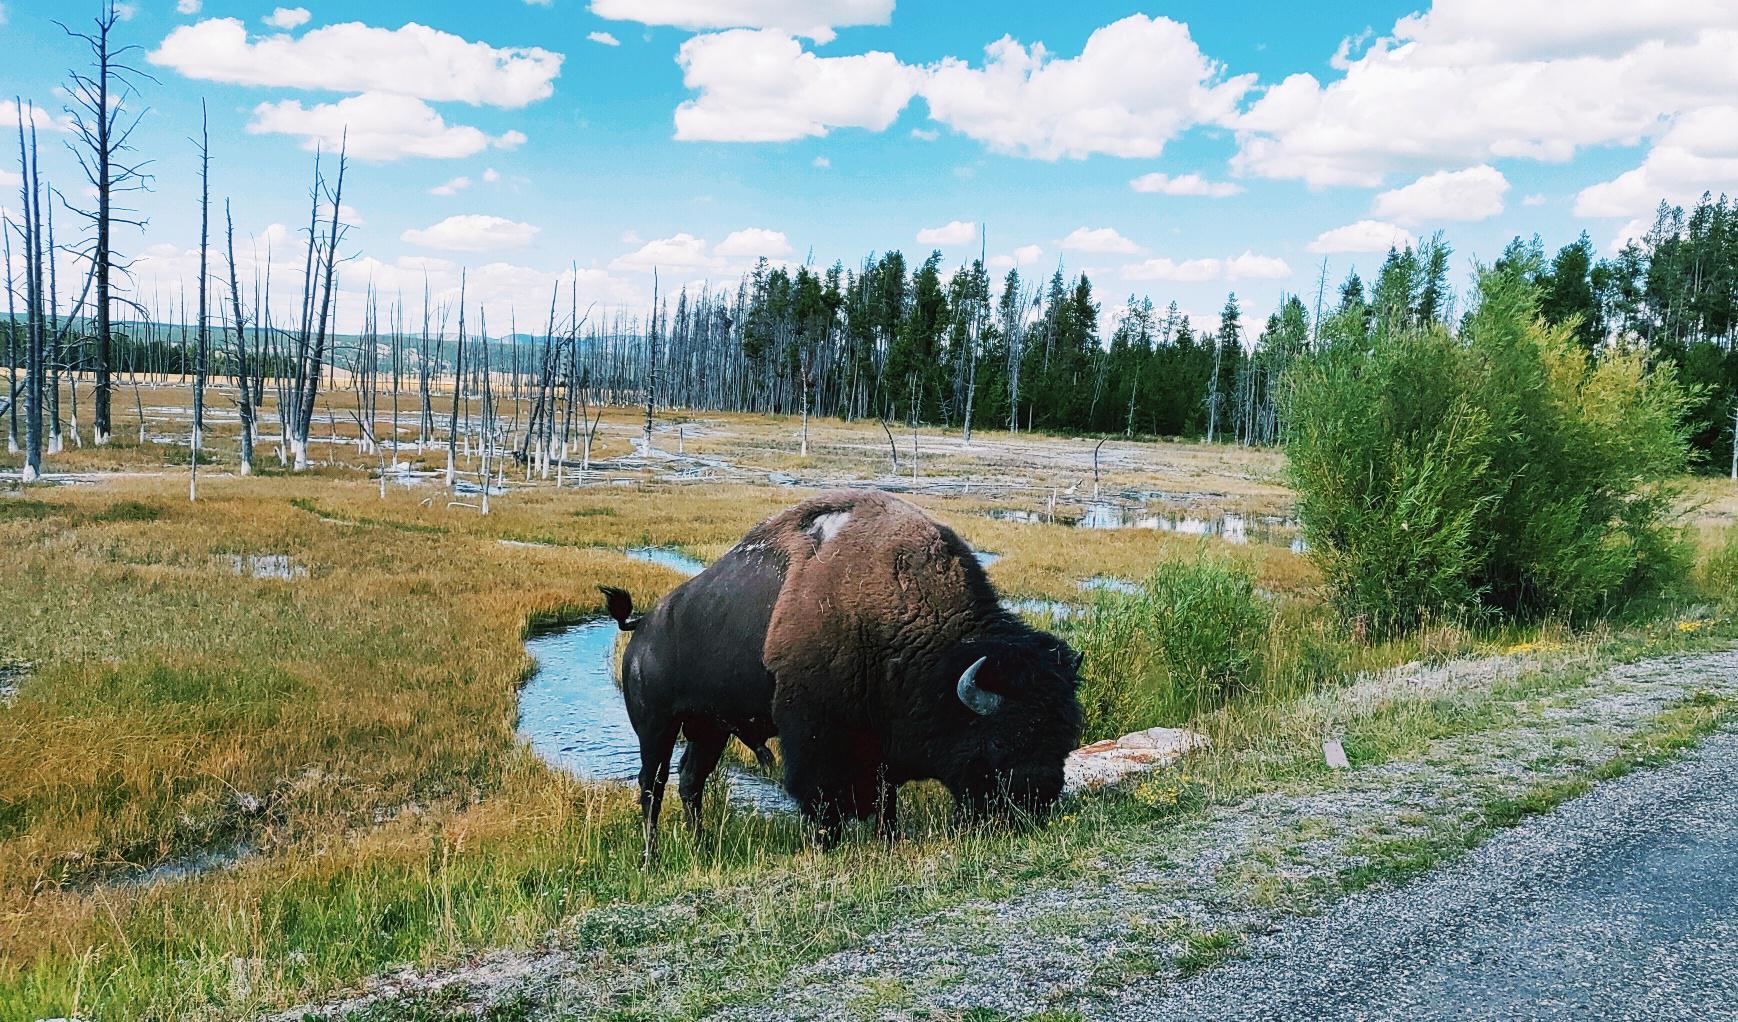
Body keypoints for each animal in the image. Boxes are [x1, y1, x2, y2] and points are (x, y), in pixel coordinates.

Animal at [603, 489, 1083, 863]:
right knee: (652, 785)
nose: (1038, 801)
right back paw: (652, 858)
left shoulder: (880, 739)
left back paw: (702, 848)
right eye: (1001, 741)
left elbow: (887, 796)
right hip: (657, 727)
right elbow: (822, 800)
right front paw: (826, 845)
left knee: (691, 781)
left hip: (710, 730)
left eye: (1065, 737)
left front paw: (888, 838)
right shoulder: (815, 739)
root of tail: (642, 627)